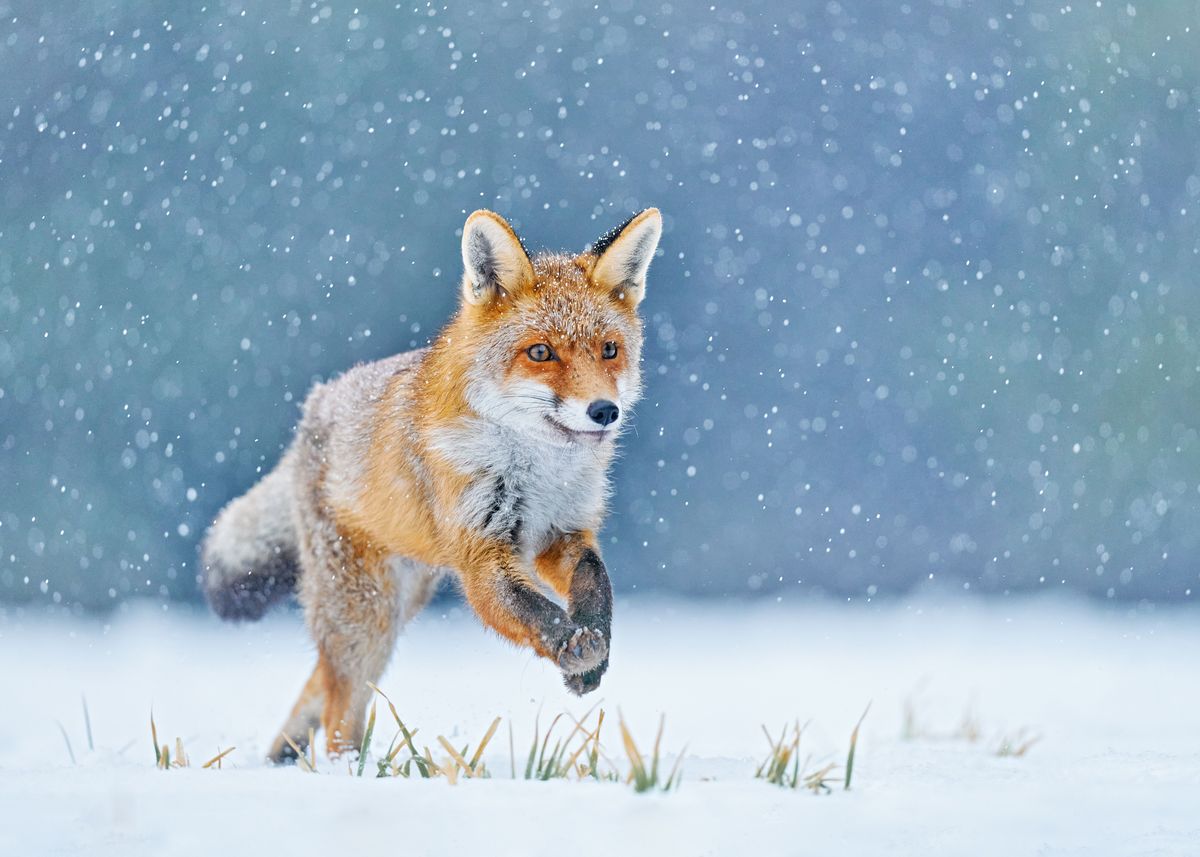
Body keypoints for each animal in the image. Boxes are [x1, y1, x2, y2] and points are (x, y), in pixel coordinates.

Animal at [199, 207, 663, 762]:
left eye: (610, 350)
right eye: (541, 352)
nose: (604, 411)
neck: (538, 472)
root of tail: (315, 407)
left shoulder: (564, 533)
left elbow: (597, 587)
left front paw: (595, 652)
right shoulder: (481, 554)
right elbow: (533, 612)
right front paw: (572, 648)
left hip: (397, 604)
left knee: (320, 686)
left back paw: (281, 759)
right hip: (365, 614)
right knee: (339, 709)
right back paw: (344, 769)